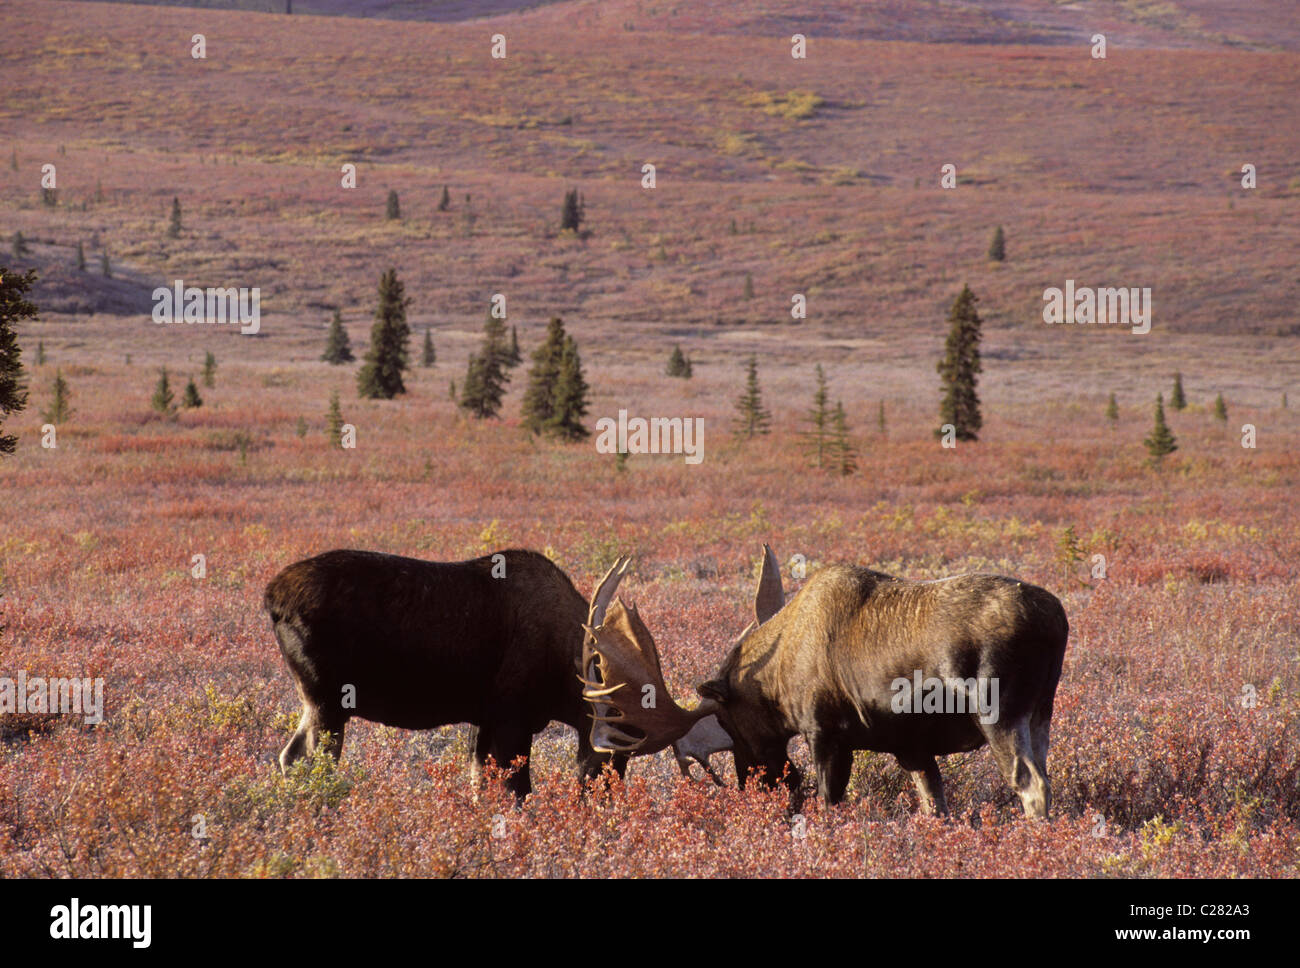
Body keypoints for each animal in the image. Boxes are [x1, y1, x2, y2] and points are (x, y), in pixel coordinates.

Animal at [265, 548, 629, 799]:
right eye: (614, 755)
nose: (602, 801)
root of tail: (272, 597)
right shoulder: (512, 719)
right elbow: (518, 791)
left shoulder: (486, 721)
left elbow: (482, 783)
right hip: (328, 703)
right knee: (304, 760)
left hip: (321, 705)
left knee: (292, 756)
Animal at [580, 546, 1069, 818]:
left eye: (731, 724)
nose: (756, 785)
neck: (774, 682)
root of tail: (1057, 622)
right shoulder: (910, 747)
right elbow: (935, 805)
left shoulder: (825, 731)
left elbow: (828, 804)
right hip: (1041, 714)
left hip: (999, 714)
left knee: (1031, 785)